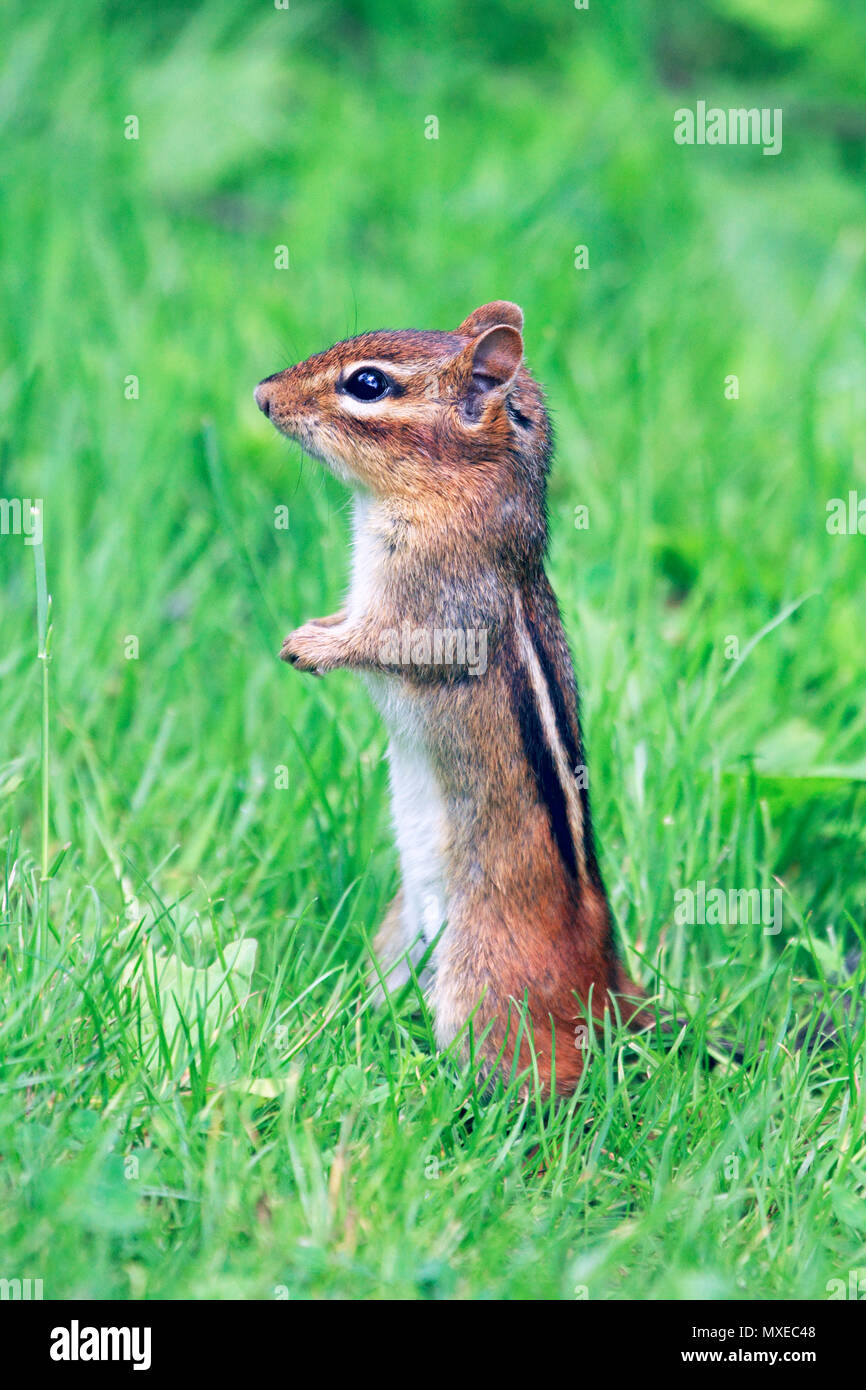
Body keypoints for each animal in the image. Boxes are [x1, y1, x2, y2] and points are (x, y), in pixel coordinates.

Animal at [255, 301, 651, 1095]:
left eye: (367, 384)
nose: (261, 395)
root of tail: (608, 976)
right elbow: (348, 619)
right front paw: (310, 631)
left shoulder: (432, 606)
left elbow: (381, 642)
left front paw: (312, 650)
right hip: (402, 931)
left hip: (482, 985)